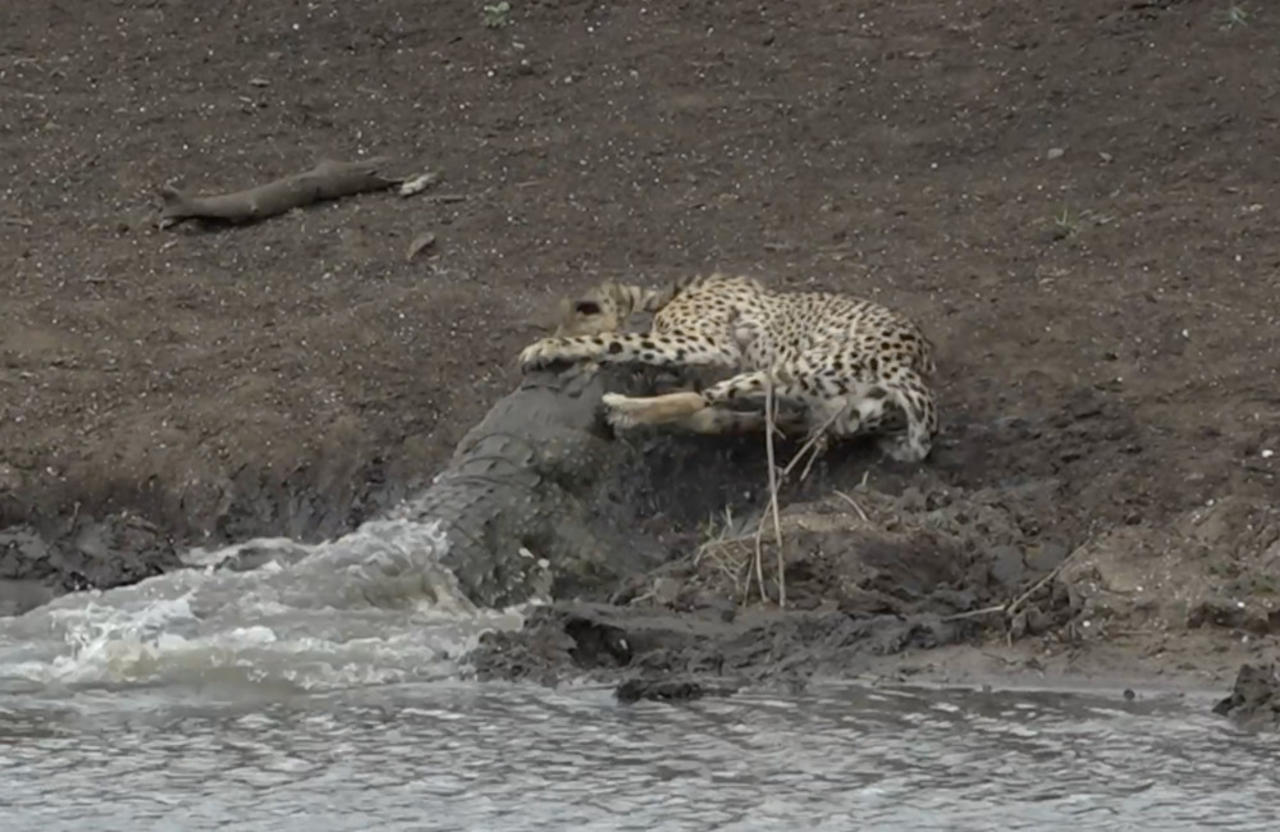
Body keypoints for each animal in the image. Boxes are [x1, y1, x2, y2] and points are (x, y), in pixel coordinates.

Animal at [519, 271, 940, 462]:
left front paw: (546, 349)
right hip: (813, 400)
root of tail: (913, 363)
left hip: (789, 367)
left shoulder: (709, 345)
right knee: (714, 412)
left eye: (576, 315)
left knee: (699, 401)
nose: (554, 331)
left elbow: (613, 342)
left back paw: (622, 409)